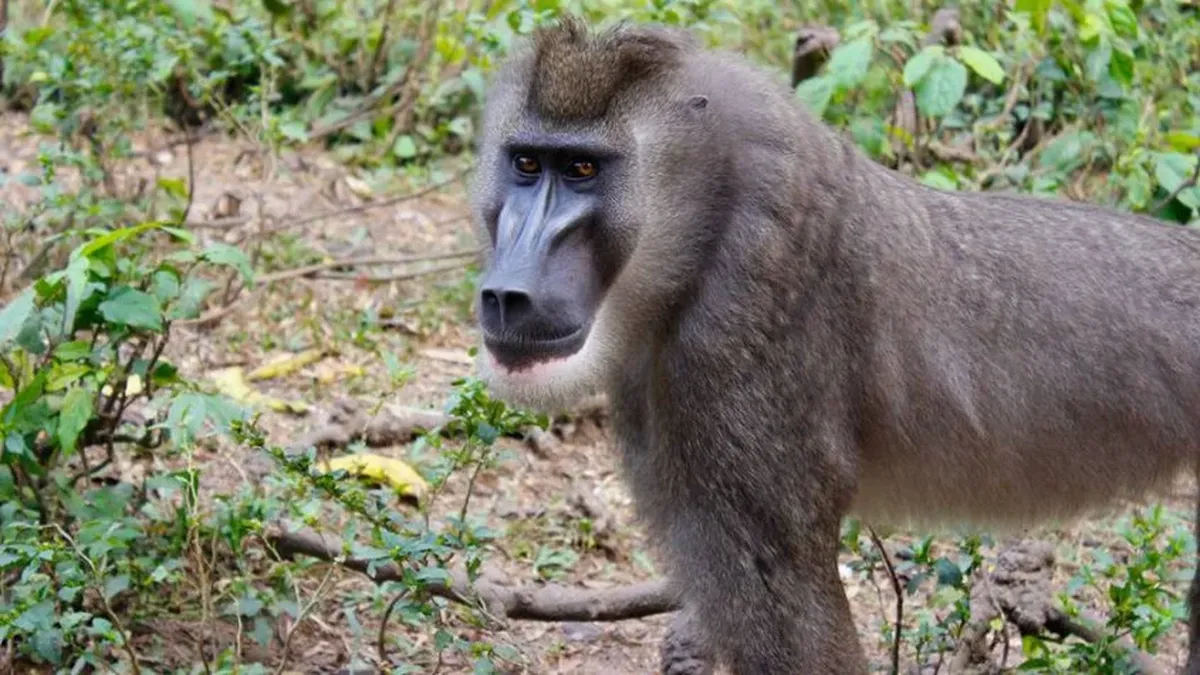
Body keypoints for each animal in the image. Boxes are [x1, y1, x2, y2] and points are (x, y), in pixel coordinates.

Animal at [468, 16, 1200, 675]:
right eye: (527, 163)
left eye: (583, 168)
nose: (508, 293)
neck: (707, 208)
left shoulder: (738, 335)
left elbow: (786, 585)